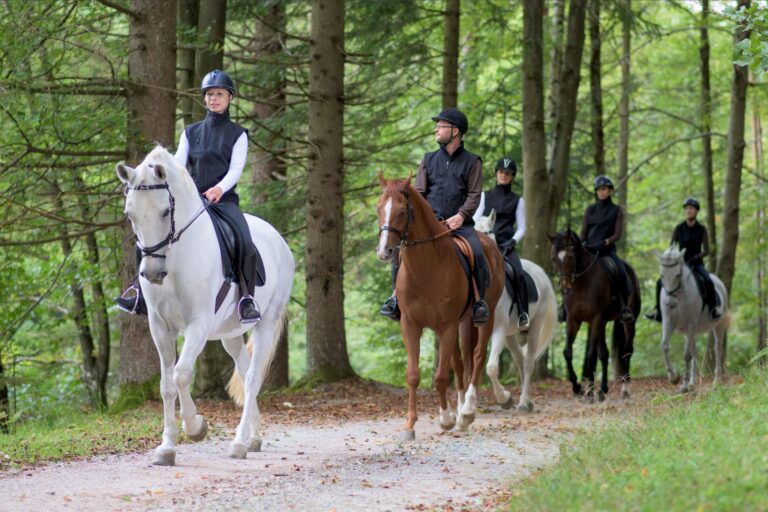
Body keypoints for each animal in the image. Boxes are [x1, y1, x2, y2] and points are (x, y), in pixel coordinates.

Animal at [116, 146, 294, 466]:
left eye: (165, 211)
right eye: (130, 213)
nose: (153, 274)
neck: (176, 258)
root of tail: (278, 239)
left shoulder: (197, 326)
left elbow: (182, 374)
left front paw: (196, 427)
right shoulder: (159, 327)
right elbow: (166, 385)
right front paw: (167, 448)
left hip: (266, 322)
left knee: (253, 377)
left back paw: (239, 443)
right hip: (229, 334)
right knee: (245, 370)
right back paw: (253, 438)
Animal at [376, 175, 504, 439]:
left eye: (402, 211)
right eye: (378, 209)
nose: (384, 252)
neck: (425, 268)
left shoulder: (446, 327)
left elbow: (441, 376)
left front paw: (446, 419)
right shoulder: (411, 325)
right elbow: (414, 375)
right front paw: (410, 425)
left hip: (484, 317)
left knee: (477, 357)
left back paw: (467, 412)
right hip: (462, 323)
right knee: (461, 362)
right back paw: (460, 411)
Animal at [474, 212, 558, 412]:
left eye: (488, 232)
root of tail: (541, 273)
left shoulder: (498, 330)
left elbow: (491, 367)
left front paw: (504, 398)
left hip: (534, 326)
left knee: (528, 362)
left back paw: (523, 403)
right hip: (509, 334)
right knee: (520, 358)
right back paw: (527, 400)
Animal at [548, 230, 640, 401]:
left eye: (571, 256)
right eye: (553, 258)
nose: (565, 288)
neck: (581, 283)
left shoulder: (596, 319)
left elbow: (591, 355)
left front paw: (589, 392)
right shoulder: (573, 320)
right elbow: (568, 352)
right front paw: (578, 387)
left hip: (629, 322)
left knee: (627, 351)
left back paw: (625, 389)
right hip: (603, 324)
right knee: (604, 353)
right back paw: (603, 389)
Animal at [654, 246, 729, 393]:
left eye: (678, 274)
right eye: (662, 274)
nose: (670, 303)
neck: (679, 297)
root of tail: (718, 281)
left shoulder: (690, 325)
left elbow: (686, 355)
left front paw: (683, 384)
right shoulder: (669, 323)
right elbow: (664, 346)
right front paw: (674, 378)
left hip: (718, 325)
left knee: (717, 349)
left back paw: (716, 382)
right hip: (690, 332)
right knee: (694, 351)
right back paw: (692, 383)